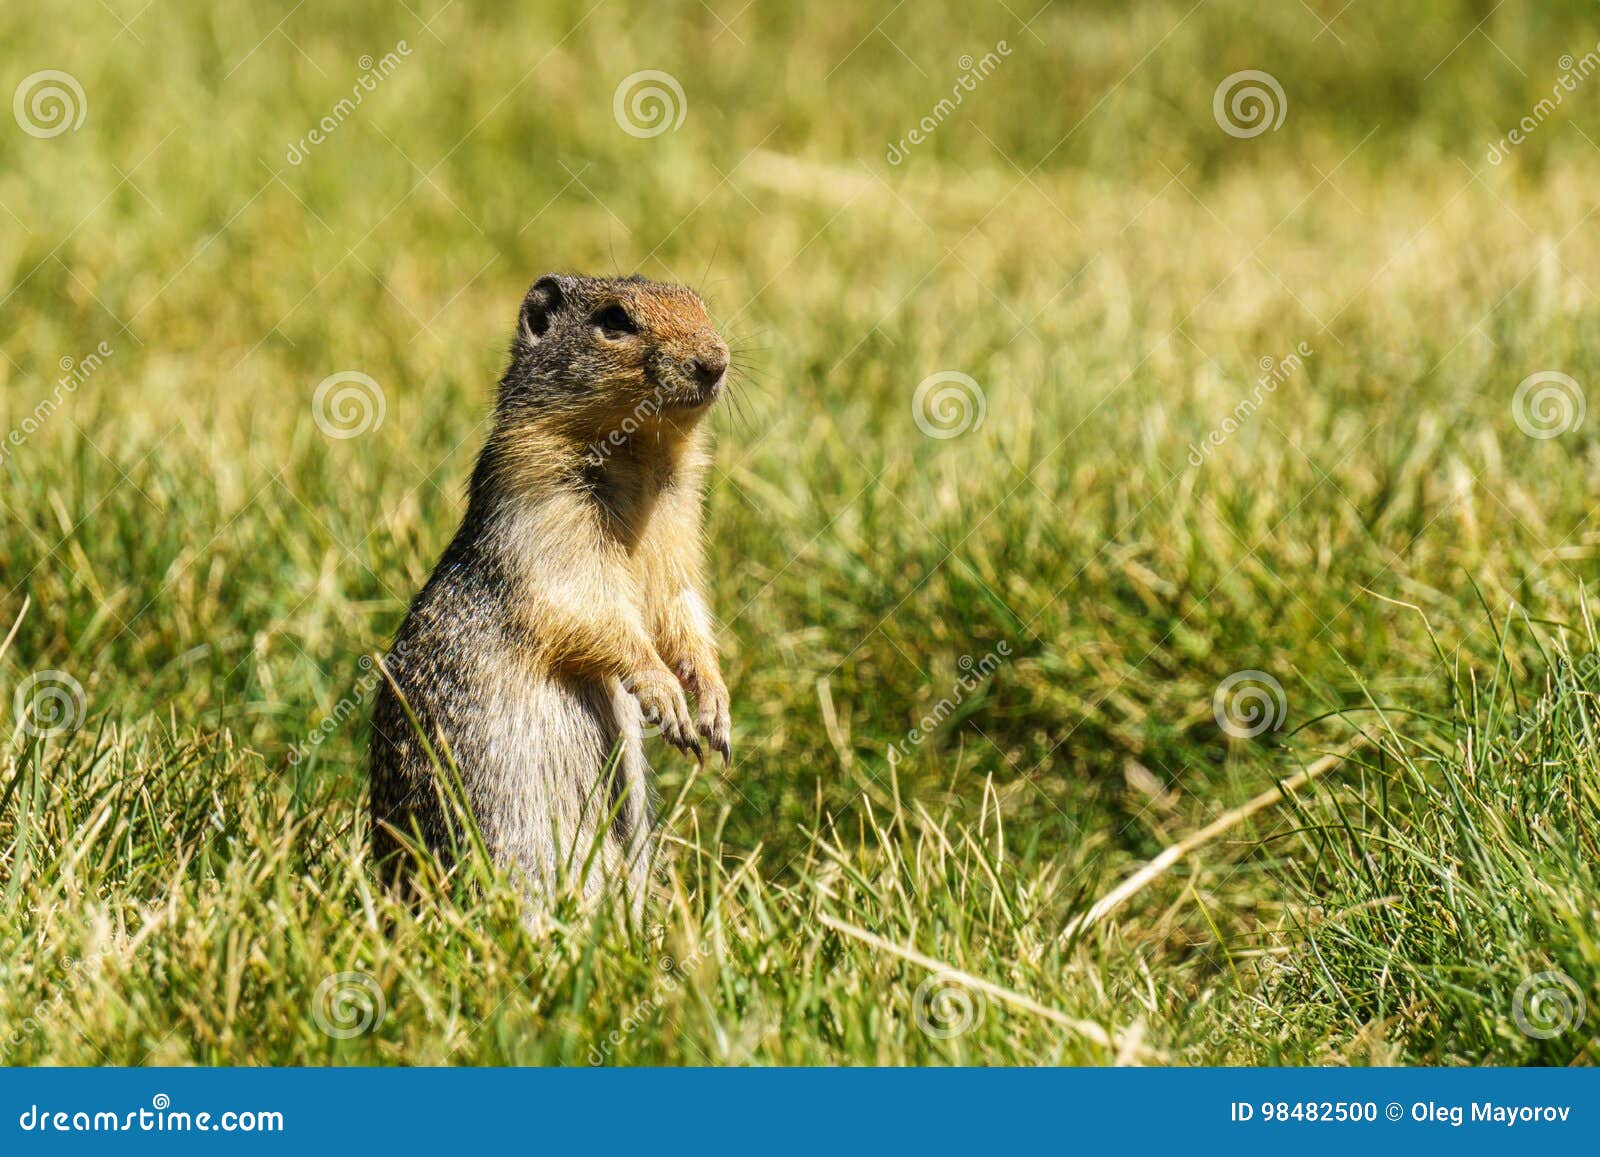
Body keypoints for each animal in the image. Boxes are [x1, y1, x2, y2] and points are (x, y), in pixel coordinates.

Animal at [369, 272, 732, 915]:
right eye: (614, 320)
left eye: (700, 302)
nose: (715, 361)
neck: (639, 456)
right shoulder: (547, 513)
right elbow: (591, 609)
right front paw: (666, 696)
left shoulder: (677, 526)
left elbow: (680, 608)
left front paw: (714, 706)